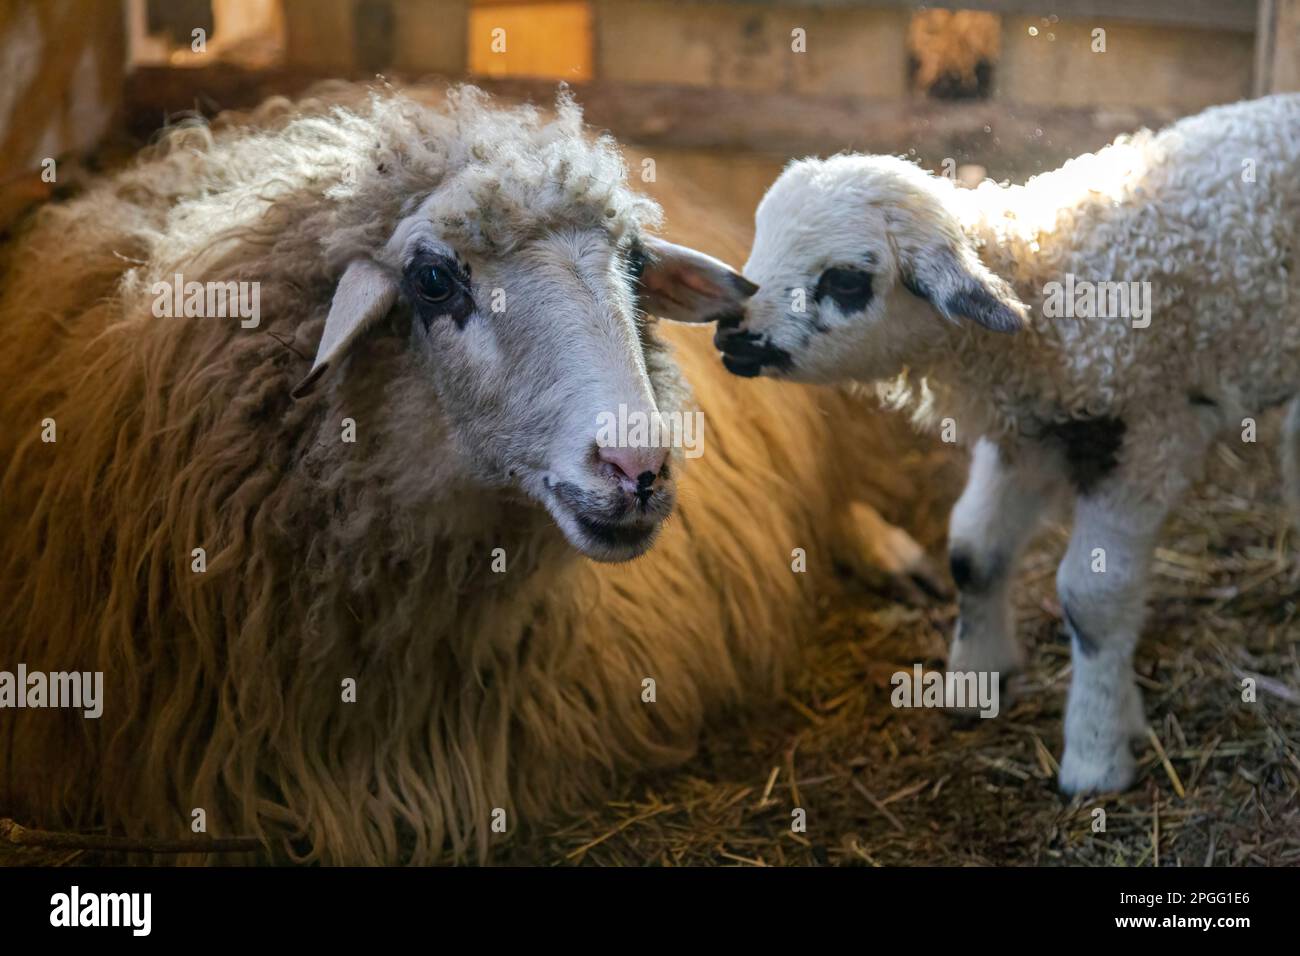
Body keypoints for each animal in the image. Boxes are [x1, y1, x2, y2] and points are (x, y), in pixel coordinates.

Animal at [718, 94, 1300, 795]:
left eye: (846, 281)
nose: (730, 334)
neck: (1043, 279)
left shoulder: (1145, 433)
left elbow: (1093, 597)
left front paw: (1096, 754)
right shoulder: (1025, 433)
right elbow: (973, 551)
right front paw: (976, 681)